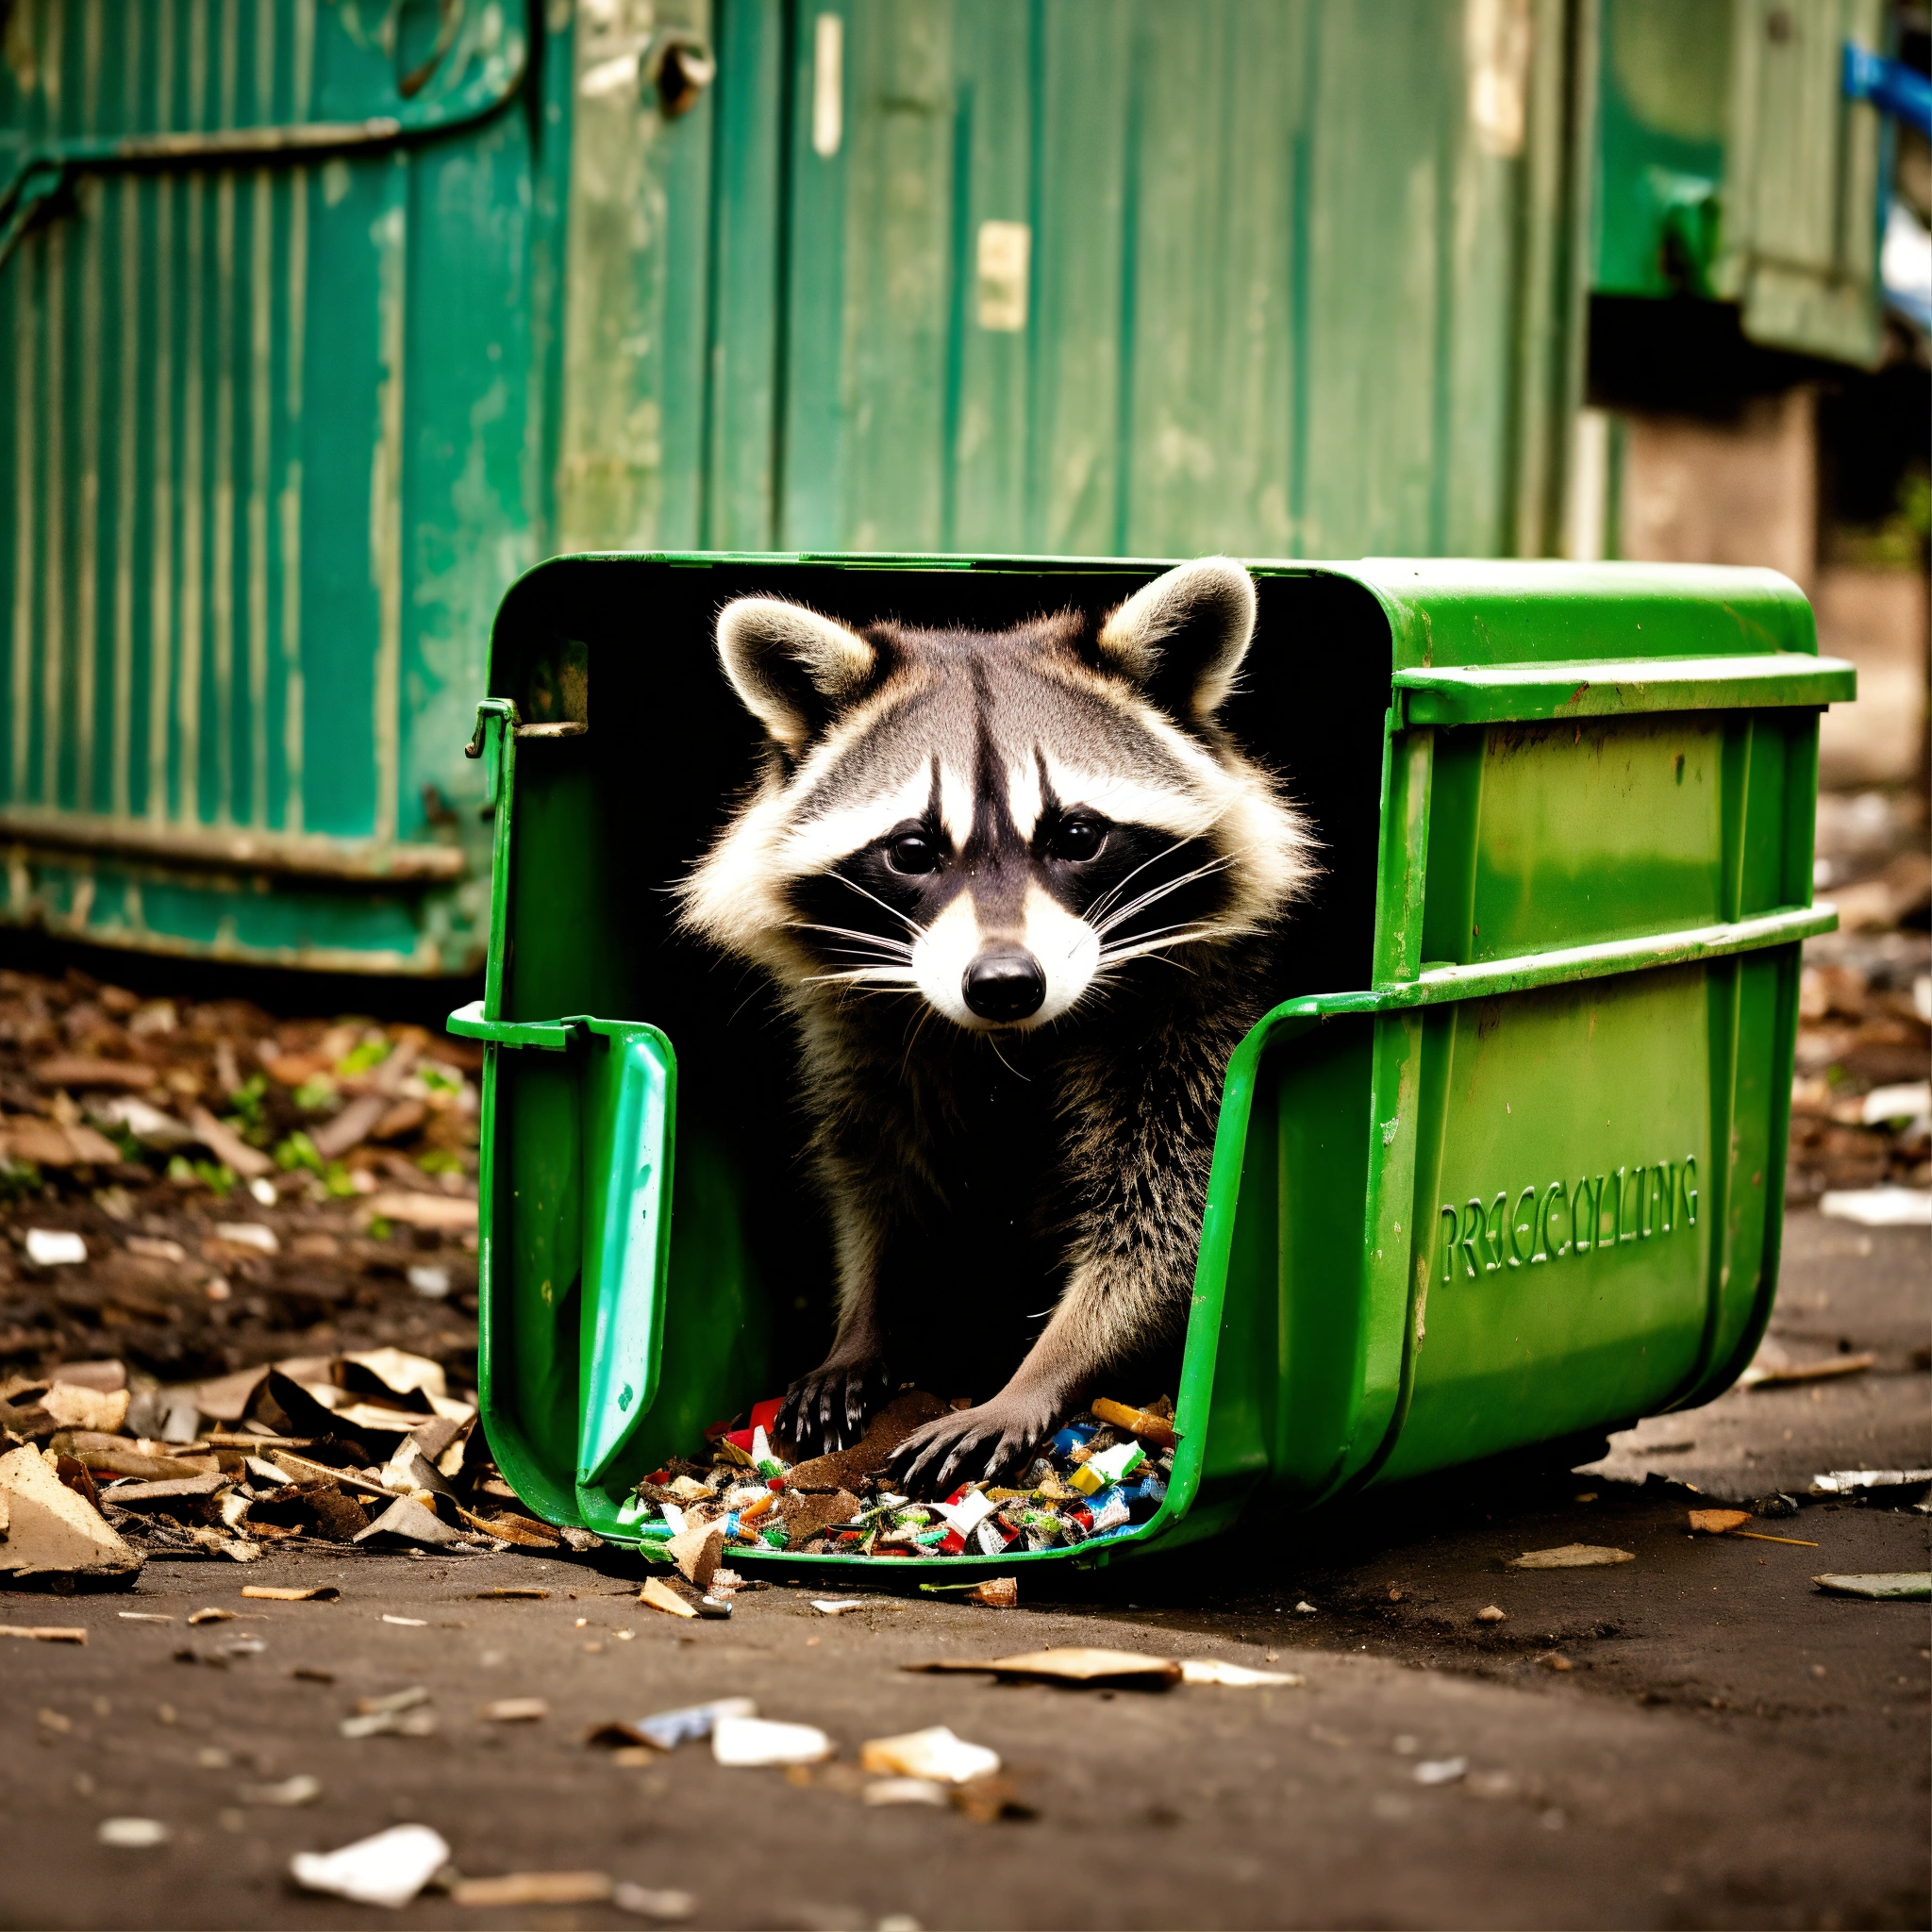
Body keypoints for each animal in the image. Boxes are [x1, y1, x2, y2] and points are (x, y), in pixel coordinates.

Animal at [680, 558, 1312, 1495]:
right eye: (912, 849)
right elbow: (874, 1169)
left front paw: (1044, 1367)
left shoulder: (1202, 1014)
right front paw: (866, 1315)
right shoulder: (861, 1030)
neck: (1005, 1045)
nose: (1006, 985)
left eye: (1078, 835)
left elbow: (1168, 1223)